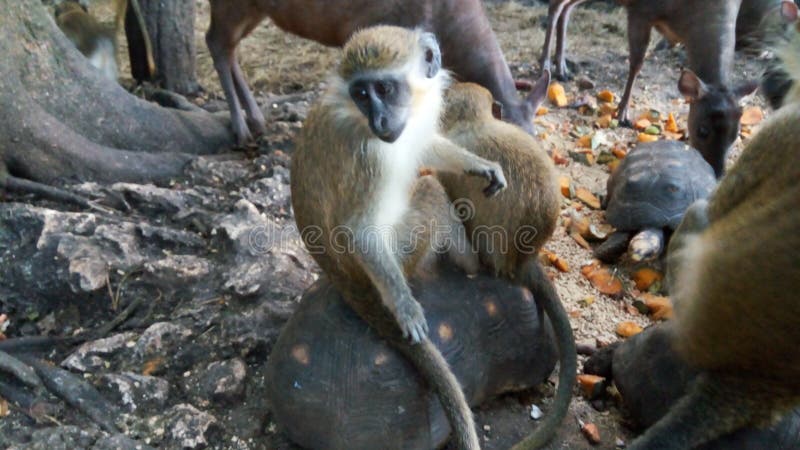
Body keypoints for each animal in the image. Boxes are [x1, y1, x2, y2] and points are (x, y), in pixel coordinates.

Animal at [291, 26, 509, 450]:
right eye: (361, 93)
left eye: (384, 88)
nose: (379, 118)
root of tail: (344, 277)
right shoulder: (366, 157)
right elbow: (359, 229)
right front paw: (405, 308)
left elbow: (424, 145)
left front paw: (479, 165)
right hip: (401, 253)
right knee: (430, 191)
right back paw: (471, 265)